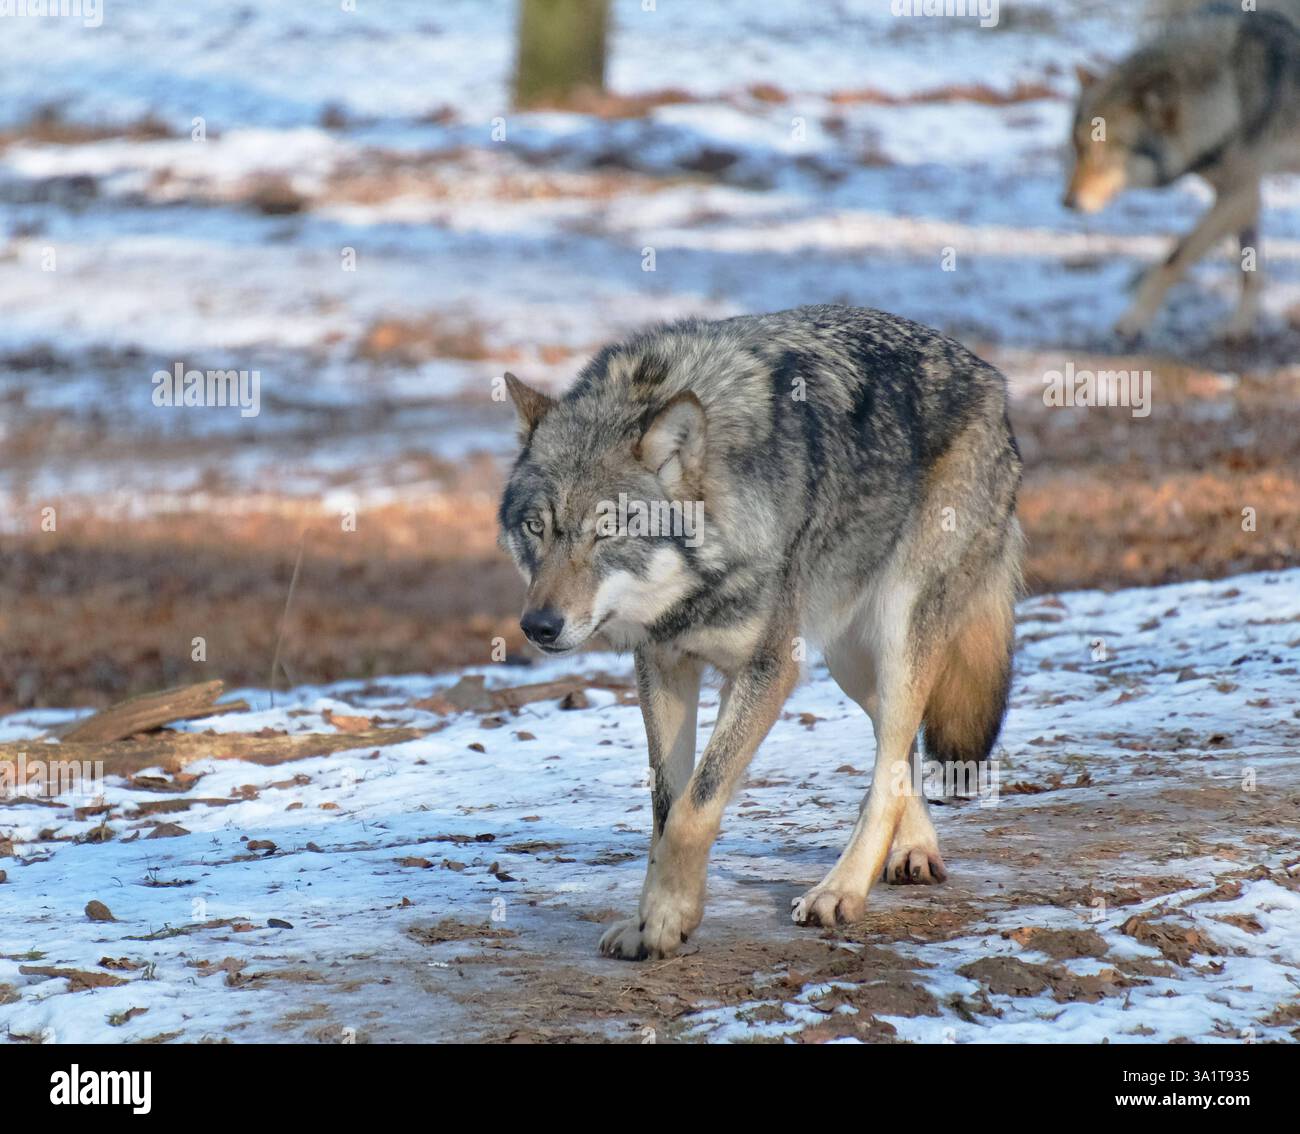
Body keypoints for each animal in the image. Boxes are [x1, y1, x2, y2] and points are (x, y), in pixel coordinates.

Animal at [498, 306, 1023, 960]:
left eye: (608, 529)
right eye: (535, 528)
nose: (538, 626)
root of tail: (992, 379)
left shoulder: (768, 669)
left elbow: (694, 808)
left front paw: (668, 919)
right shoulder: (664, 665)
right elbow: (666, 807)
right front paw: (649, 922)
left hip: (897, 632)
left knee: (888, 765)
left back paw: (840, 890)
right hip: (850, 661)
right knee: (896, 752)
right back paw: (913, 850)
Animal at [1063, 0, 1300, 339]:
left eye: (1109, 155)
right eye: (1079, 147)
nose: (1069, 202)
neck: (1229, 92)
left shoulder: (1239, 196)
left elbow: (1175, 256)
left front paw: (1135, 318)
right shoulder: (1242, 195)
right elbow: (1248, 270)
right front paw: (1240, 325)